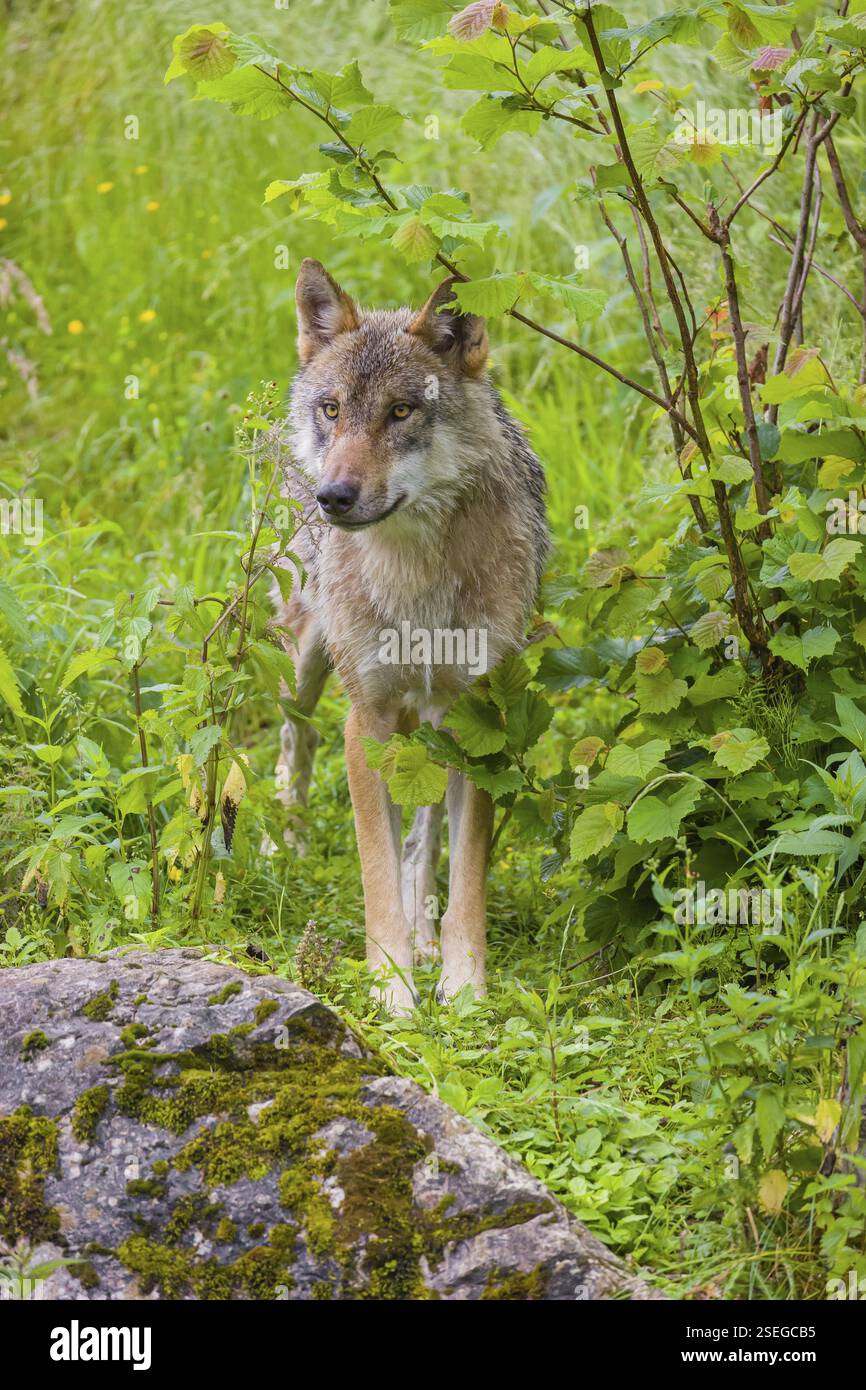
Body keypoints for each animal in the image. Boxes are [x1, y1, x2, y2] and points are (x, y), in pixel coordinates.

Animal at [270, 258, 548, 1013]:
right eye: (334, 410)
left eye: (400, 411)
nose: (333, 497)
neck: (415, 576)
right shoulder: (365, 719)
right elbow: (376, 875)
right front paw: (391, 990)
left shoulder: (481, 720)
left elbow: (465, 876)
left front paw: (463, 984)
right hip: (305, 667)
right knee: (294, 744)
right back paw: (284, 848)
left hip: (432, 726)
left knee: (424, 840)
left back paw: (426, 940)